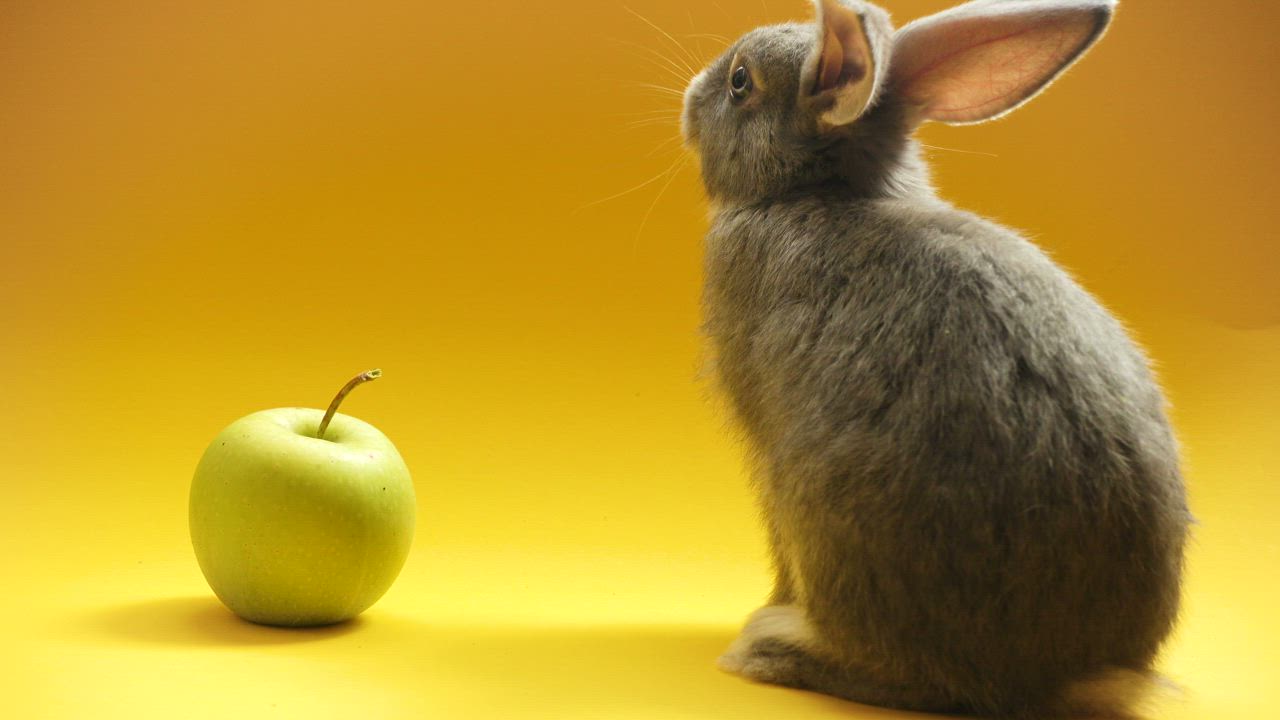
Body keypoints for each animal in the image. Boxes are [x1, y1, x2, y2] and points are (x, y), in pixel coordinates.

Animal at [680, 0, 1190, 717]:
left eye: (740, 83)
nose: (689, 97)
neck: (819, 192)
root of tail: (1047, 681)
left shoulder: (763, 449)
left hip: (827, 514)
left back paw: (771, 647)